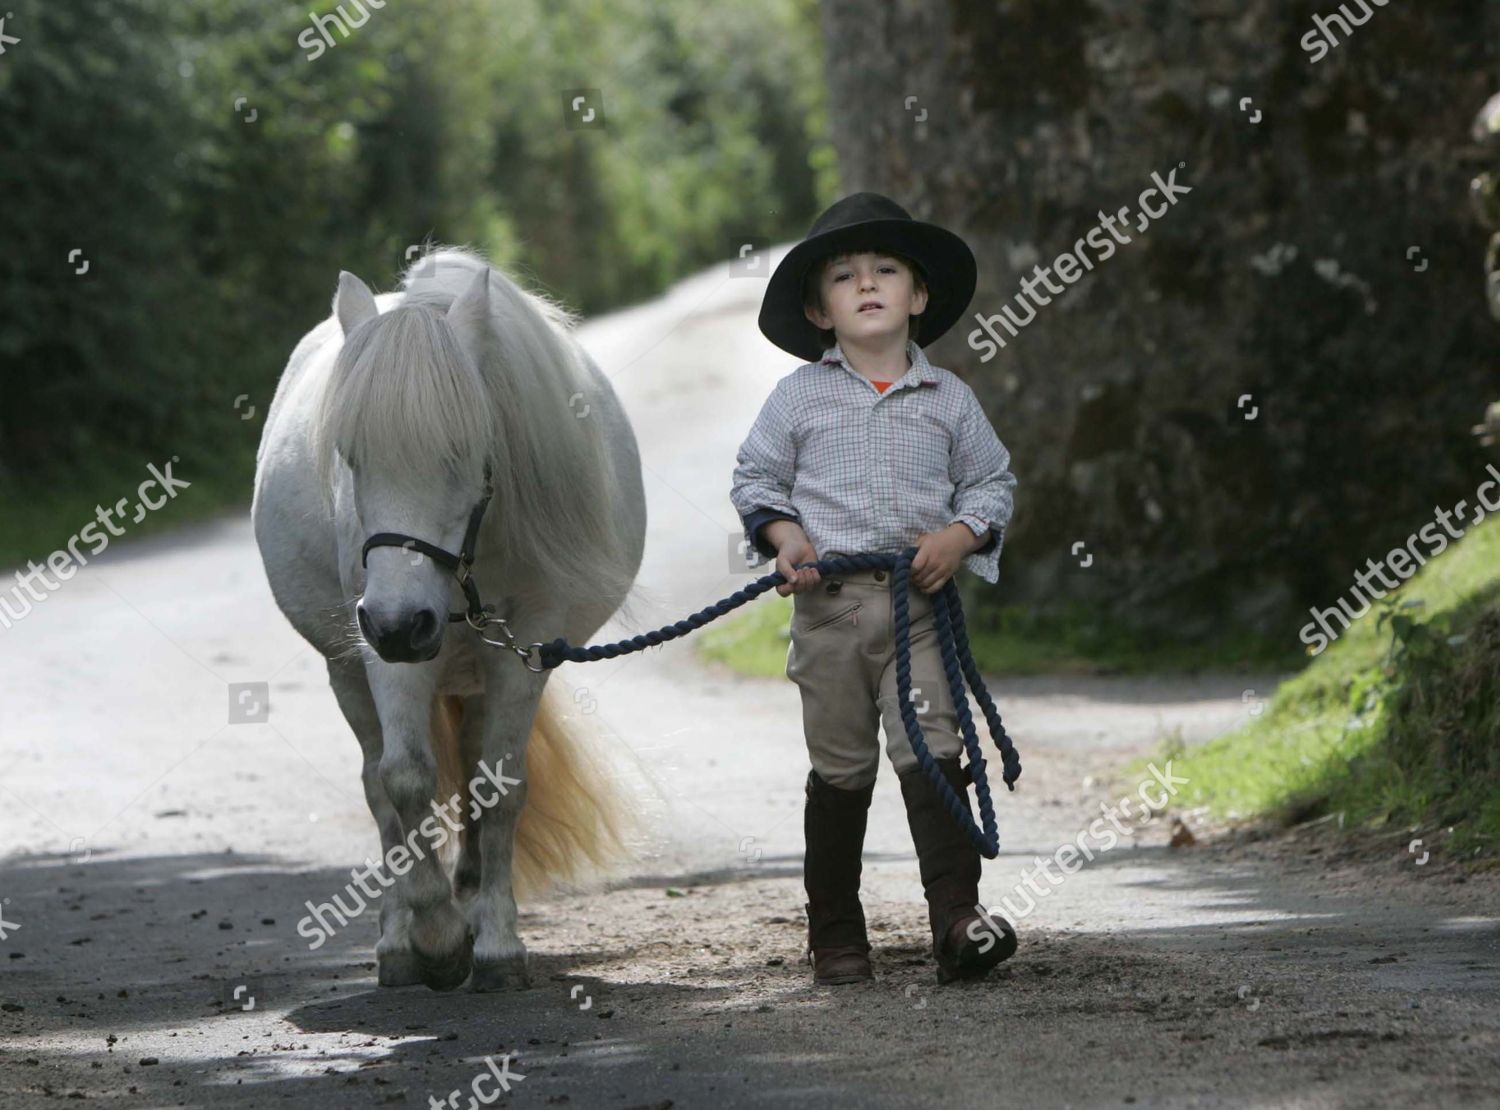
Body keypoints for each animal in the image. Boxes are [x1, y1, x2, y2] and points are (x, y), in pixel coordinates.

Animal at [252, 246, 647, 991]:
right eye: (350, 455)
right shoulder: (381, 650)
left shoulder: (526, 646)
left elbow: (500, 787)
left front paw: (495, 944)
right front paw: (436, 939)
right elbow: (404, 779)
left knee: (469, 767)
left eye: (465, 451)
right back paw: (397, 939)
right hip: (350, 668)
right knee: (378, 787)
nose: (400, 622)